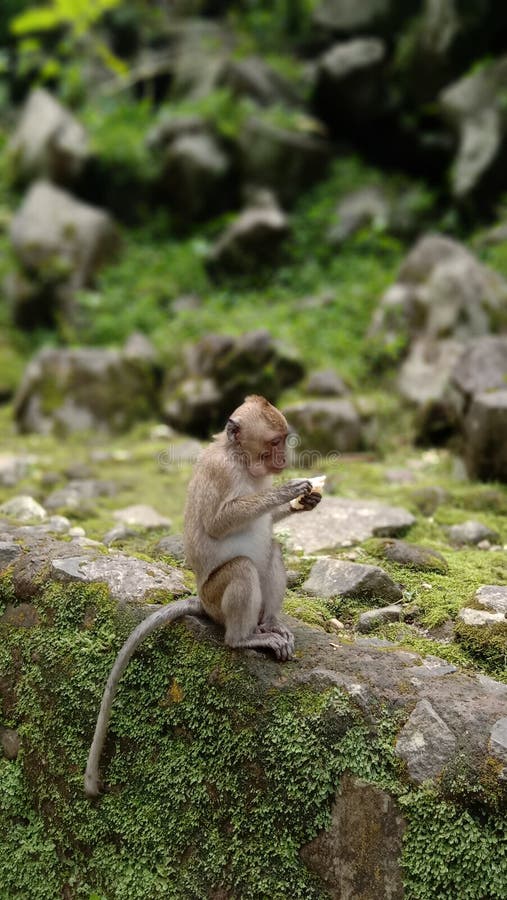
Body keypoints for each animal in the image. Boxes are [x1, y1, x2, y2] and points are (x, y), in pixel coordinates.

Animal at [84, 395, 322, 797]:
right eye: (274, 442)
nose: (283, 460)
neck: (241, 460)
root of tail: (202, 601)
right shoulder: (220, 471)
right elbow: (218, 522)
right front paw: (288, 491)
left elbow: (269, 524)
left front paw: (303, 502)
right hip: (216, 598)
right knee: (242, 568)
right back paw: (245, 639)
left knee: (271, 550)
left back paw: (271, 623)